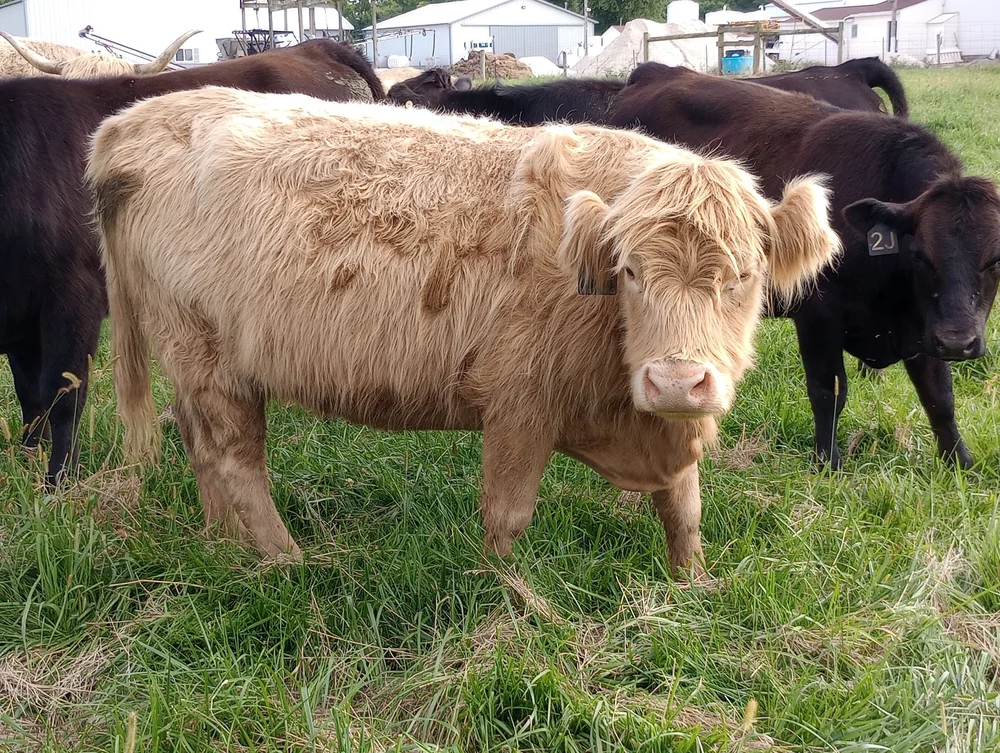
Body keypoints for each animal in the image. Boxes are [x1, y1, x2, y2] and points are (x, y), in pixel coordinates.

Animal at [0, 40, 384, 486]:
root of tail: (320, 46)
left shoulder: (74, 298)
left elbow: (62, 396)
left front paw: (59, 483)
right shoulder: (21, 320)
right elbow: (30, 399)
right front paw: (29, 461)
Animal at [88, 87, 840, 575]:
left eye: (743, 274)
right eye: (628, 270)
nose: (677, 380)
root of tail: (138, 120)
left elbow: (683, 509)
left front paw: (693, 586)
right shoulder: (520, 406)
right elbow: (506, 517)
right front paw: (511, 599)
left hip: (190, 360)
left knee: (200, 447)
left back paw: (222, 546)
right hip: (214, 362)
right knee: (236, 460)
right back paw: (286, 561)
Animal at [609, 62, 1000, 470]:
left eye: (996, 259)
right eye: (921, 254)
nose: (957, 341)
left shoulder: (922, 324)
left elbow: (940, 396)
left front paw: (960, 462)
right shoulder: (818, 315)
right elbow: (828, 391)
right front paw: (828, 460)